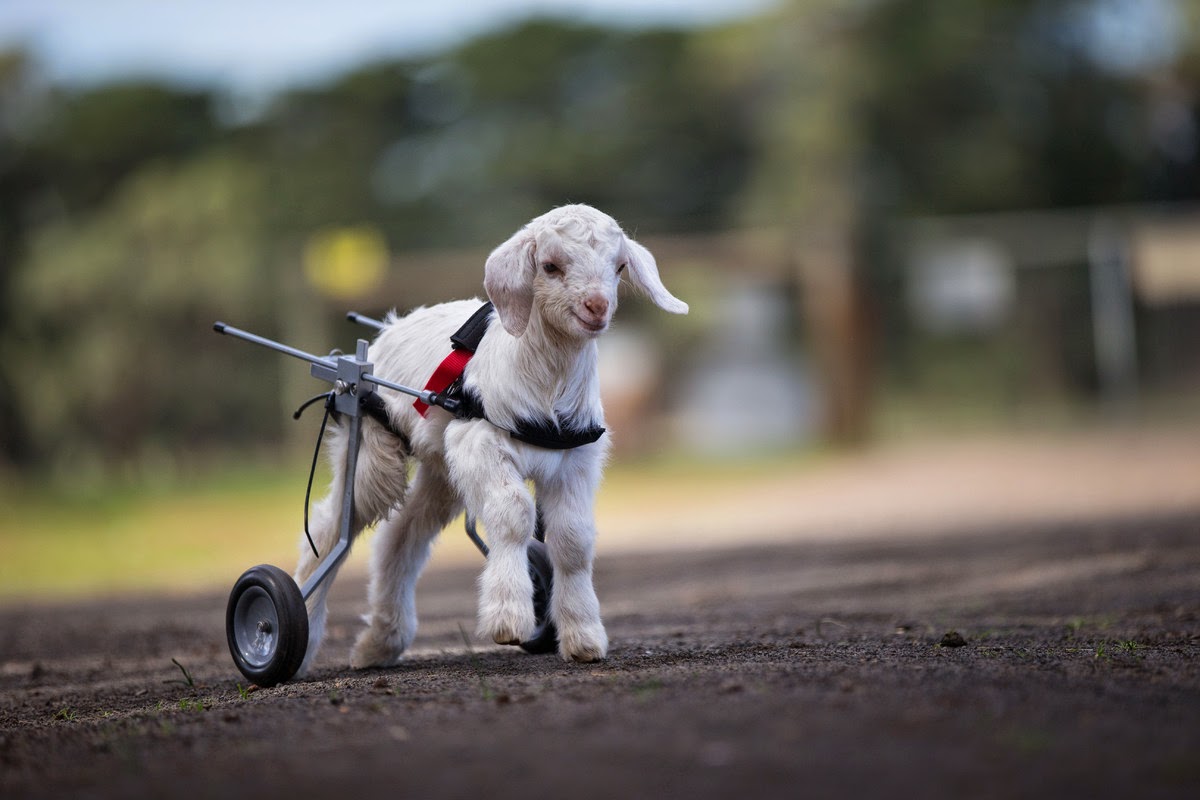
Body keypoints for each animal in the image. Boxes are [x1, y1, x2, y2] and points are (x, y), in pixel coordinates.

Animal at [292, 204, 688, 673]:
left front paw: (584, 637)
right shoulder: (481, 443)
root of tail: (388, 329)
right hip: (373, 443)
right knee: (331, 525)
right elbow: (513, 515)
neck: (545, 380)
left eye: (620, 266)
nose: (597, 306)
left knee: (401, 535)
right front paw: (508, 619)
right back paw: (299, 638)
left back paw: (379, 645)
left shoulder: (576, 459)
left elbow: (573, 539)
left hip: (441, 467)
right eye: (550, 266)